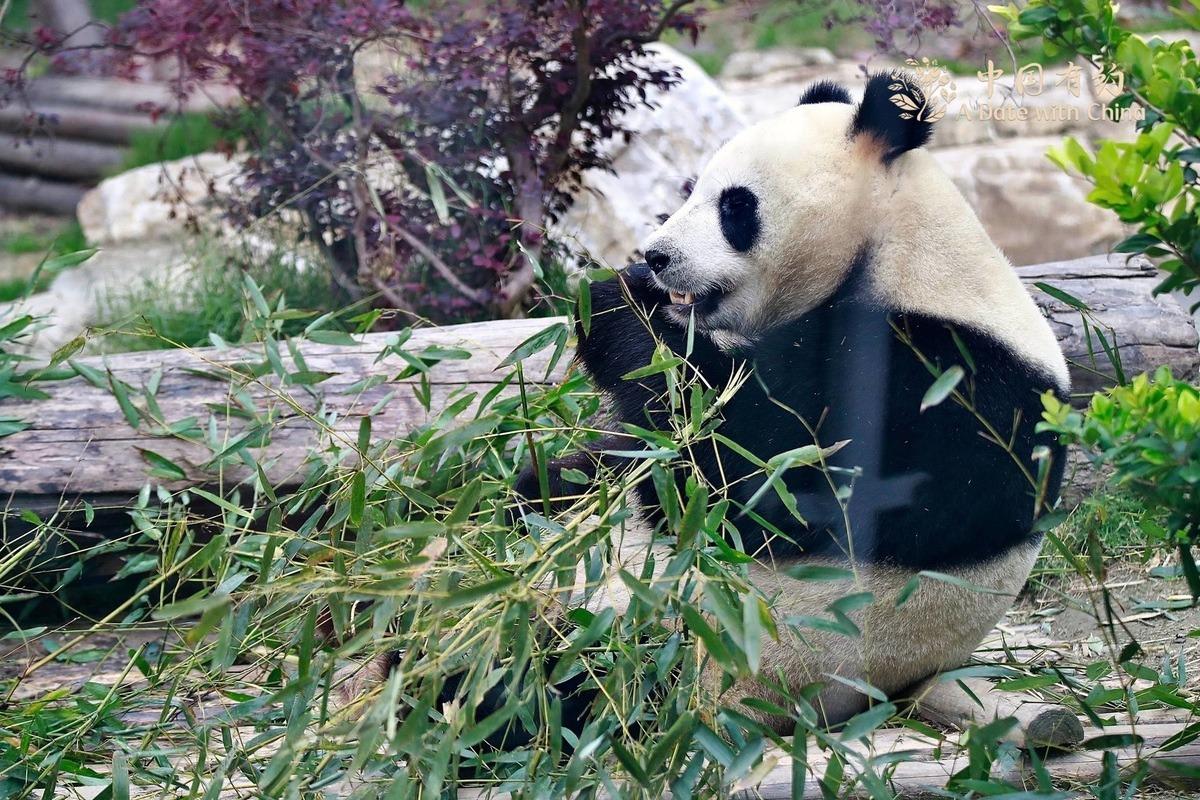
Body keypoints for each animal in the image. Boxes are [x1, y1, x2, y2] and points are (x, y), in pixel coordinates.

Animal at [500, 71, 1071, 735]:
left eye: (735, 205)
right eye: (691, 188)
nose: (657, 255)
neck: (899, 249)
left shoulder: (939, 383)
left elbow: (755, 477)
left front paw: (617, 305)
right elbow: (643, 462)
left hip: (691, 649)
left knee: (569, 682)